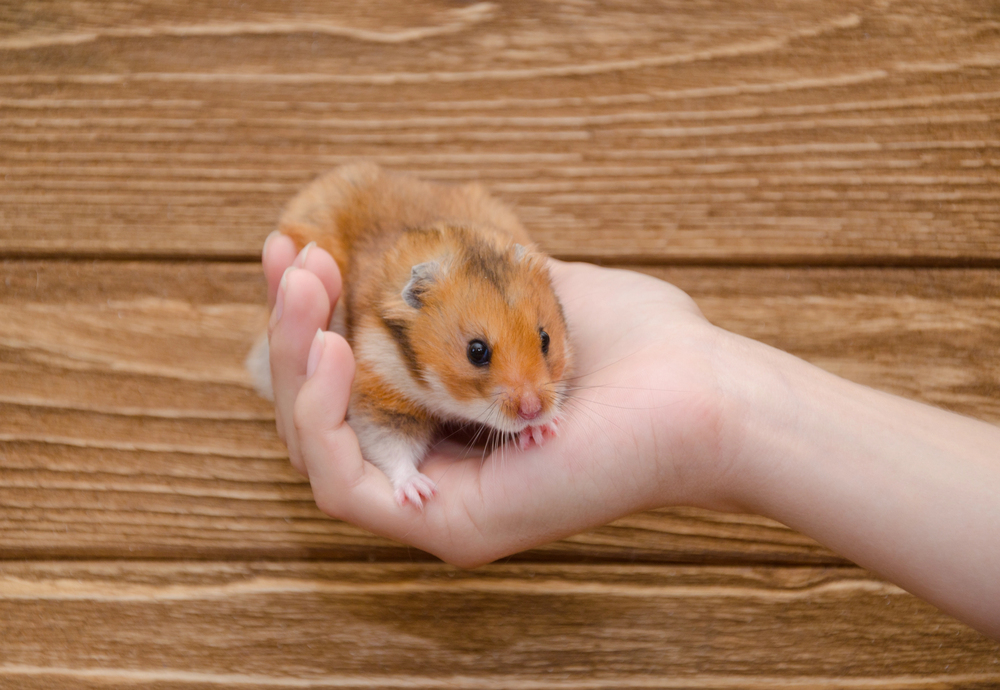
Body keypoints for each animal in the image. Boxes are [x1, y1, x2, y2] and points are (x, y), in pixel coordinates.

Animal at [248, 163, 571, 508]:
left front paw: (544, 429)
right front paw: (419, 493)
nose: (533, 411)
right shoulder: (381, 390)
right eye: (476, 351)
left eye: (545, 339)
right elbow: (391, 444)